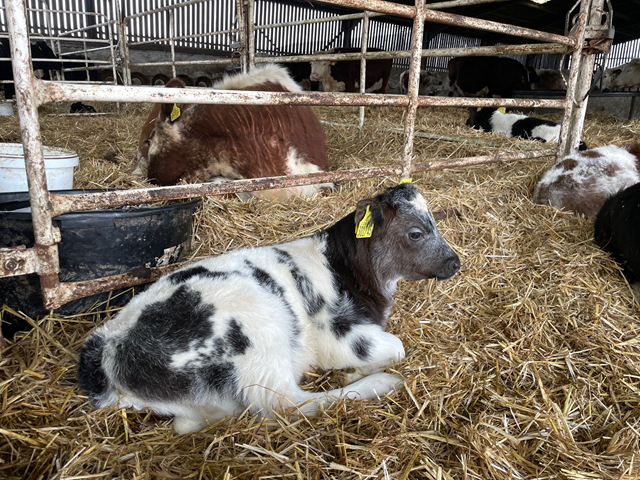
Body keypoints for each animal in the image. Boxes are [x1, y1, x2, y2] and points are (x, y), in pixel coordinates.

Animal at [77, 182, 461, 434]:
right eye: (415, 232)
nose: (455, 262)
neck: (346, 268)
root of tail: (109, 348)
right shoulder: (338, 335)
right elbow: (396, 347)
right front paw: (361, 372)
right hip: (261, 331)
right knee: (287, 403)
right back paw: (381, 383)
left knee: (187, 424)